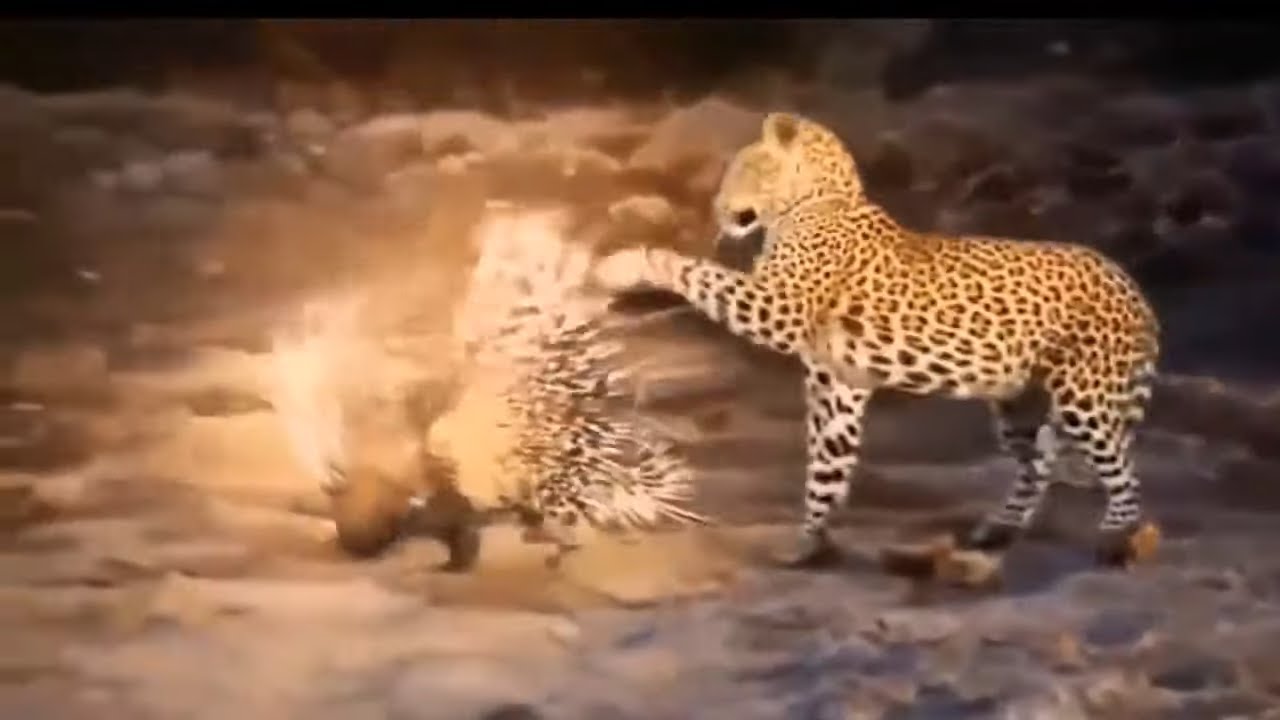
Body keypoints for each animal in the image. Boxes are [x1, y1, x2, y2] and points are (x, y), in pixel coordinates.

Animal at [592, 111, 1161, 569]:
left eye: (748, 169)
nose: (717, 208)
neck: (815, 202)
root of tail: (1133, 288)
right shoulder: (836, 382)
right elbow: (828, 462)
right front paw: (810, 542)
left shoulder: (775, 308)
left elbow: (696, 270)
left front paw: (626, 264)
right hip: (1019, 402)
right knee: (1037, 464)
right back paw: (997, 530)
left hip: (1086, 394)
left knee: (1122, 466)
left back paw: (1118, 536)